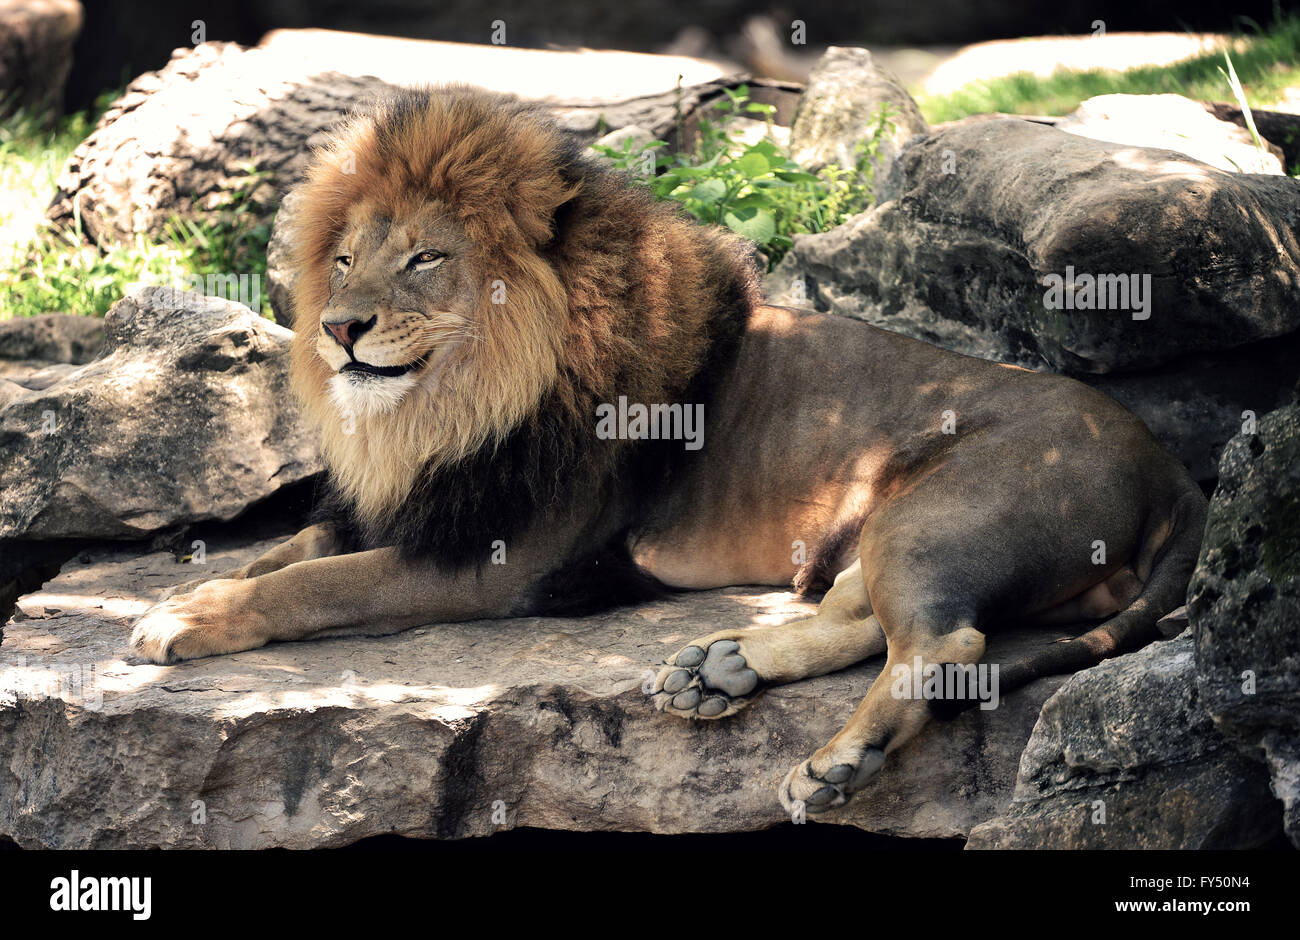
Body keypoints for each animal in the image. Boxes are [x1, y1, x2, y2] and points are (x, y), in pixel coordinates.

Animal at [129, 86, 1207, 815]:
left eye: (426, 258)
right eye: (346, 259)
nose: (337, 327)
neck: (449, 409)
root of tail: (1174, 473)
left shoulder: (497, 561)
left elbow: (315, 584)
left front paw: (187, 615)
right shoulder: (421, 504)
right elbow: (290, 551)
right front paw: (182, 593)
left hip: (934, 515)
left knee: (948, 645)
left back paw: (832, 762)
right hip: (883, 527)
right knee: (866, 618)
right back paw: (717, 669)